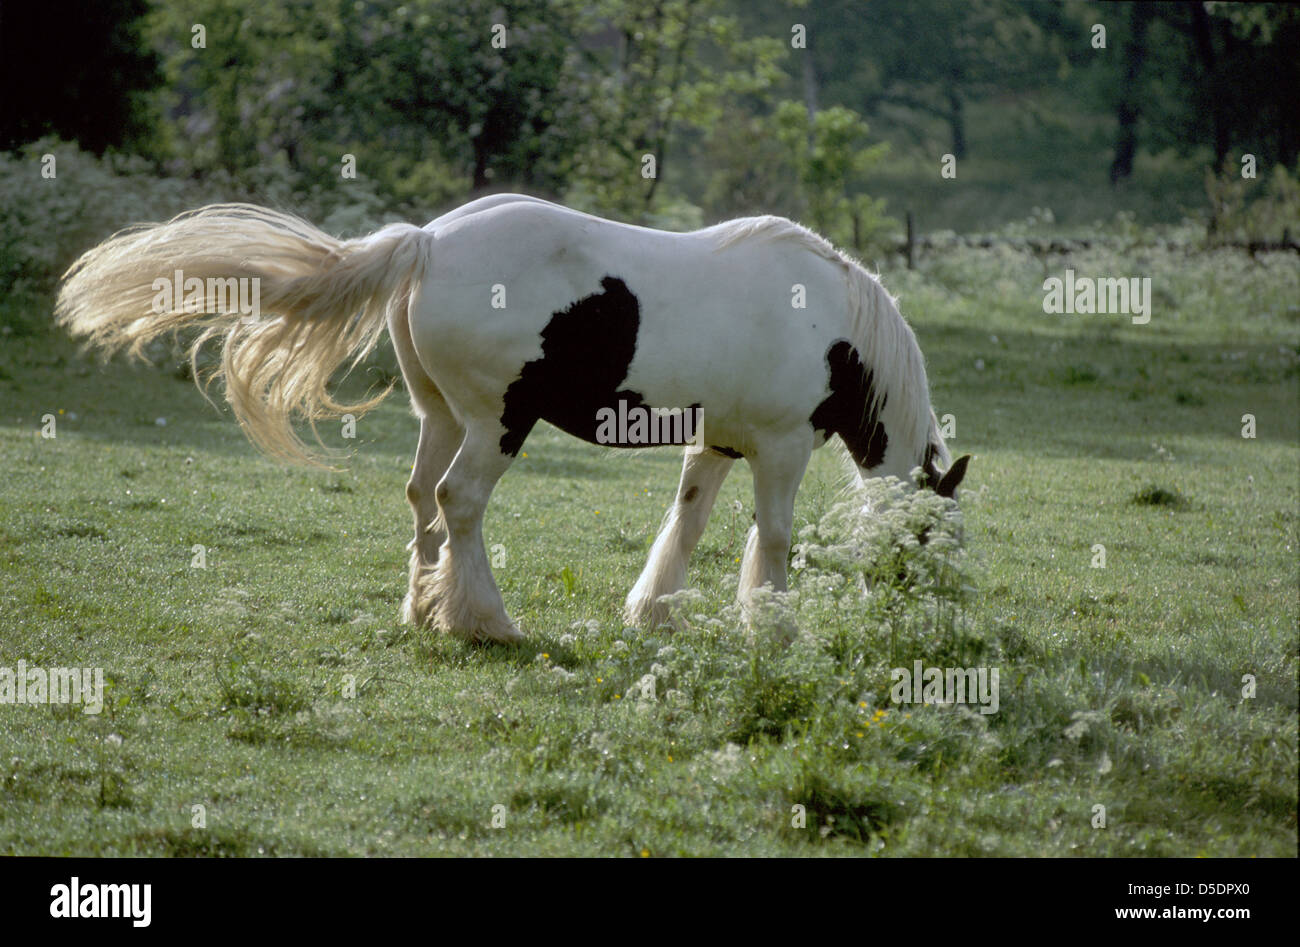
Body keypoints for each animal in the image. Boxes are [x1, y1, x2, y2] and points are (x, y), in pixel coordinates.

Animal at [55, 193, 970, 643]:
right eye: (938, 535)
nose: (928, 618)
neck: (831, 324)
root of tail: (425, 241)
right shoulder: (779, 447)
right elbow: (770, 541)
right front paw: (772, 630)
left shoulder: (717, 443)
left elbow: (686, 524)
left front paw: (654, 612)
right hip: (496, 424)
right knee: (459, 502)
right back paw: (487, 622)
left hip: (439, 416)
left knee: (422, 501)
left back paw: (426, 612)